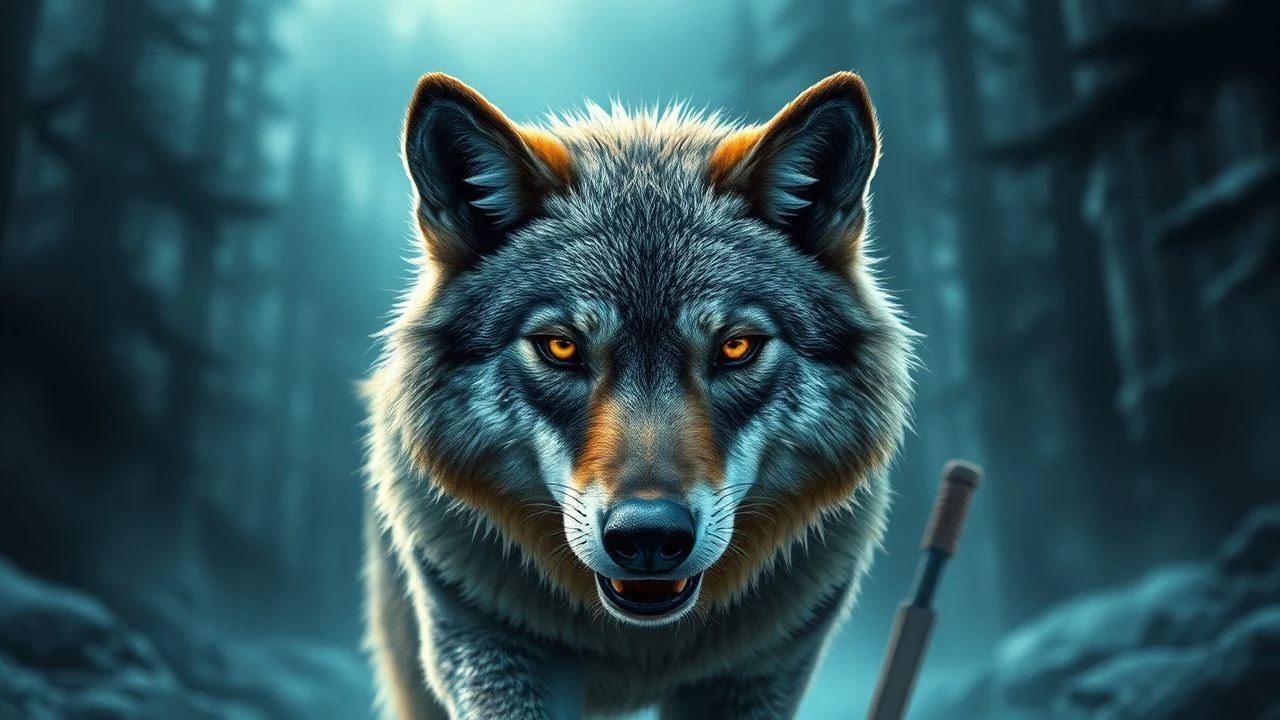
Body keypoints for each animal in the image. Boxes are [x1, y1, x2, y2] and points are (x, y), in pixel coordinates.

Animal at [362, 70, 915, 720]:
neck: (636, 646)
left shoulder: (760, 669)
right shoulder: (490, 644)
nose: (649, 536)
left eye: (735, 347)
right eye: (561, 347)